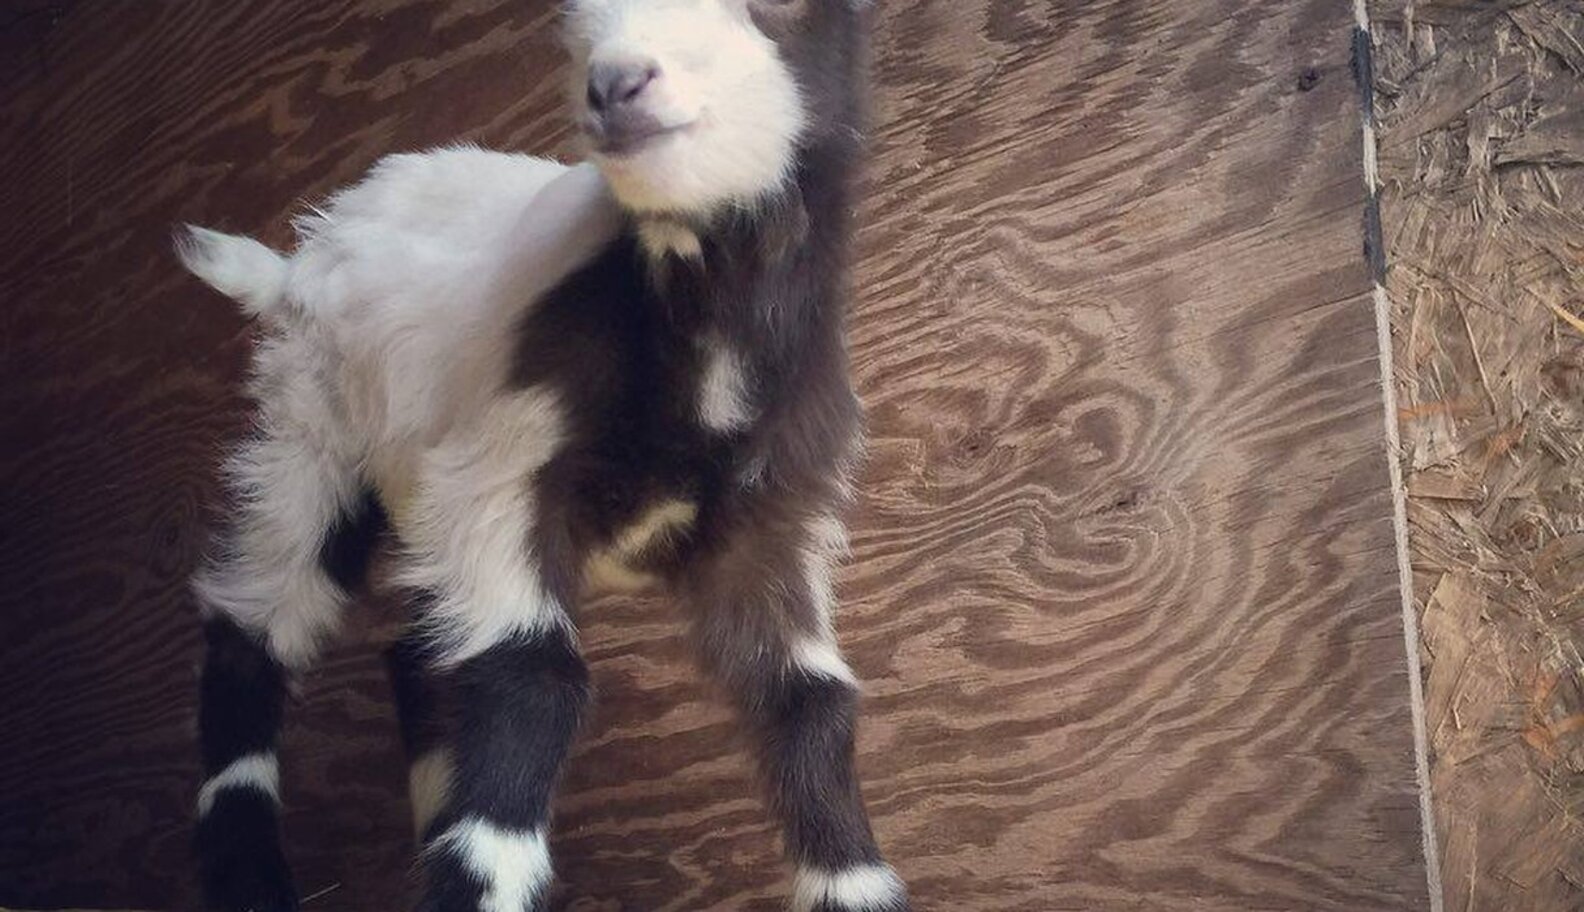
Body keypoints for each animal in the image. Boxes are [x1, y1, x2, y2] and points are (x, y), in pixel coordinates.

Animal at [177, 1, 906, 910]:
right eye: (580, 25)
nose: (614, 85)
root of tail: (291, 266)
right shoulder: (503, 469)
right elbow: (533, 679)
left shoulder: (772, 528)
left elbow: (810, 703)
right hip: (311, 420)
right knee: (258, 624)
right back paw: (253, 876)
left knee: (415, 653)